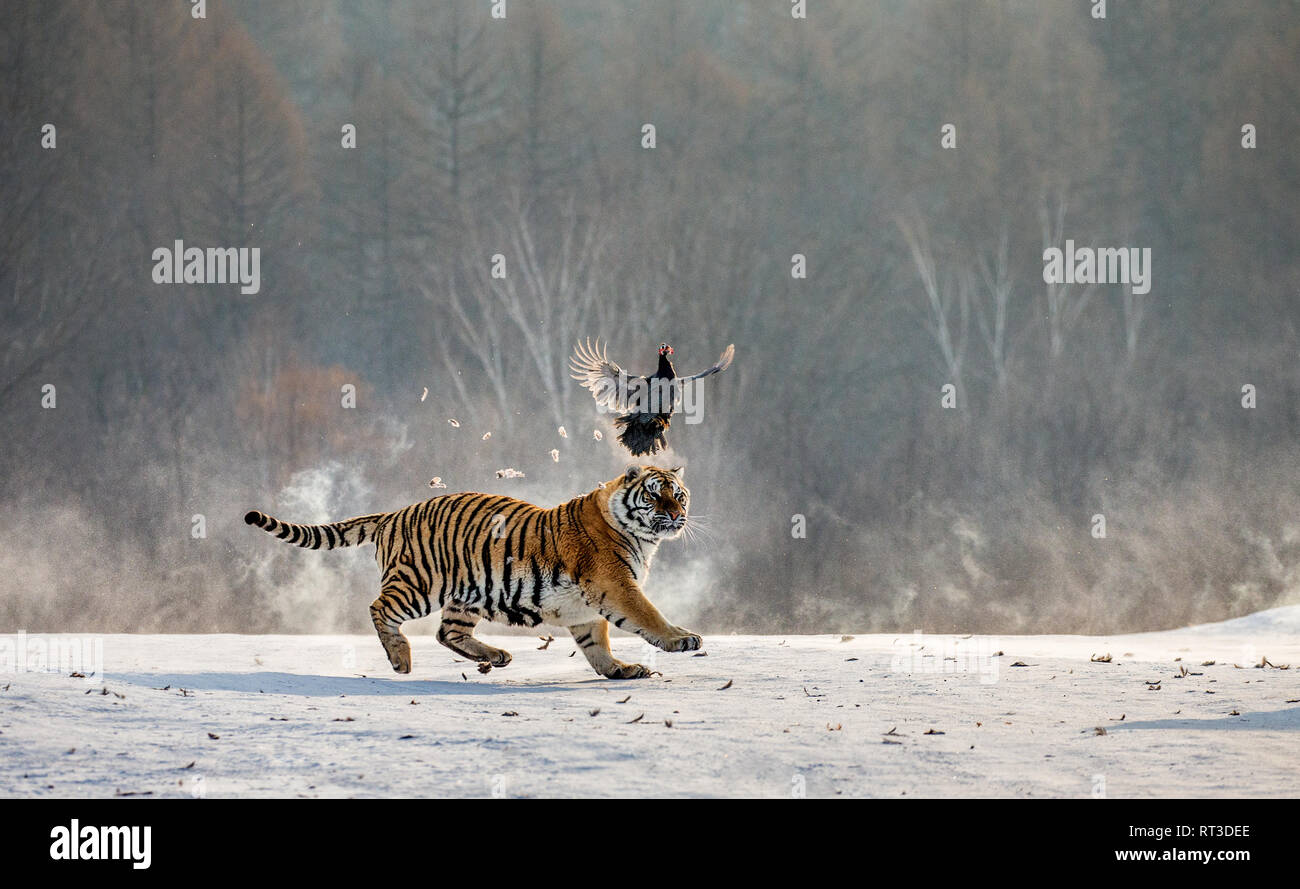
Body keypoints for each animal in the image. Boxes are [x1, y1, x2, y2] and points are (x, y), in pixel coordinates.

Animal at [244, 465, 702, 679]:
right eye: (654, 495)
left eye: (678, 495)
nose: (676, 515)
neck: (642, 537)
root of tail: (394, 513)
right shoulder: (617, 586)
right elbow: (649, 616)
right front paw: (682, 639)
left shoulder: (586, 608)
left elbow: (597, 646)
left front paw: (620, 670)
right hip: (419, 583)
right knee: (379, 608)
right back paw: (400, 658)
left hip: (467, 595)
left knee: (447, 633)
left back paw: (495, 655)